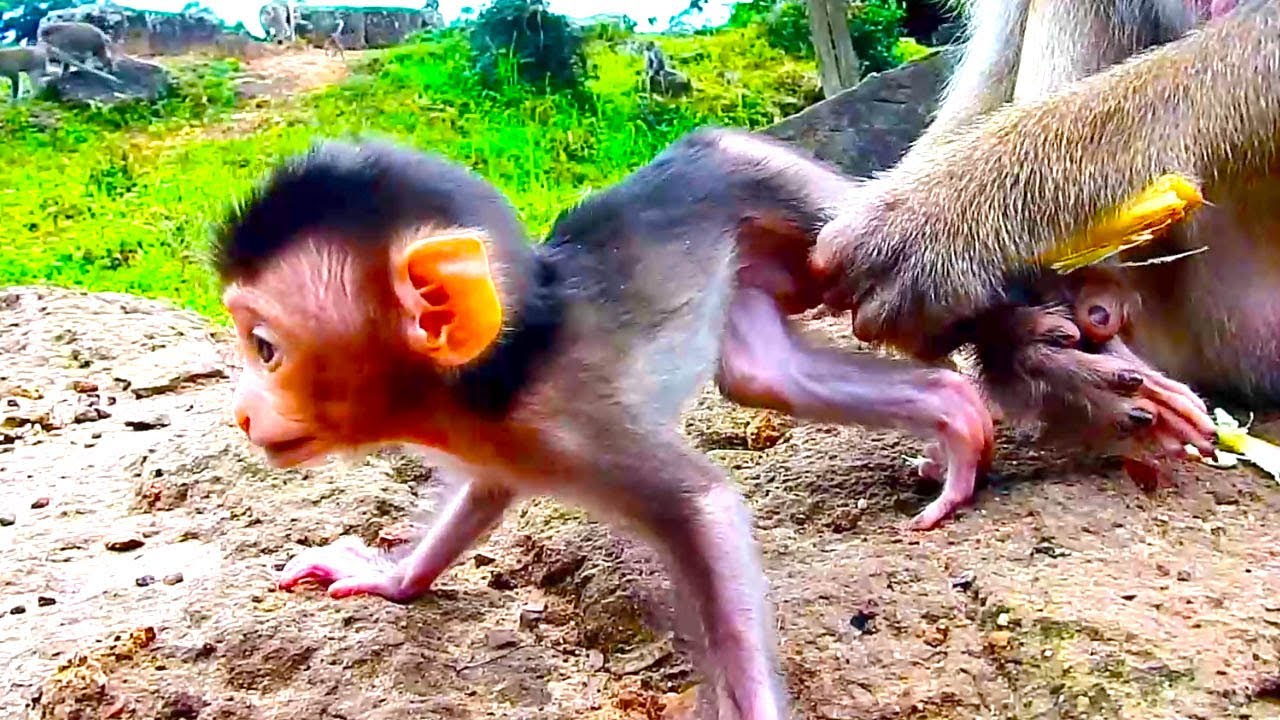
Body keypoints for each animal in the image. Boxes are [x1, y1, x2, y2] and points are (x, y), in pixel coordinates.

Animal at [216, 130, 1009, 719]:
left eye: (264, 348)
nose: (243, 410)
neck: (497, 376)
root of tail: (706, 144)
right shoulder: (507, 443)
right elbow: (484, 495)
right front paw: (392, 576)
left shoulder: (573, 426)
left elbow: (704, 507)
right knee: (761, 373)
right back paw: (953, 411)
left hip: (784, 187)